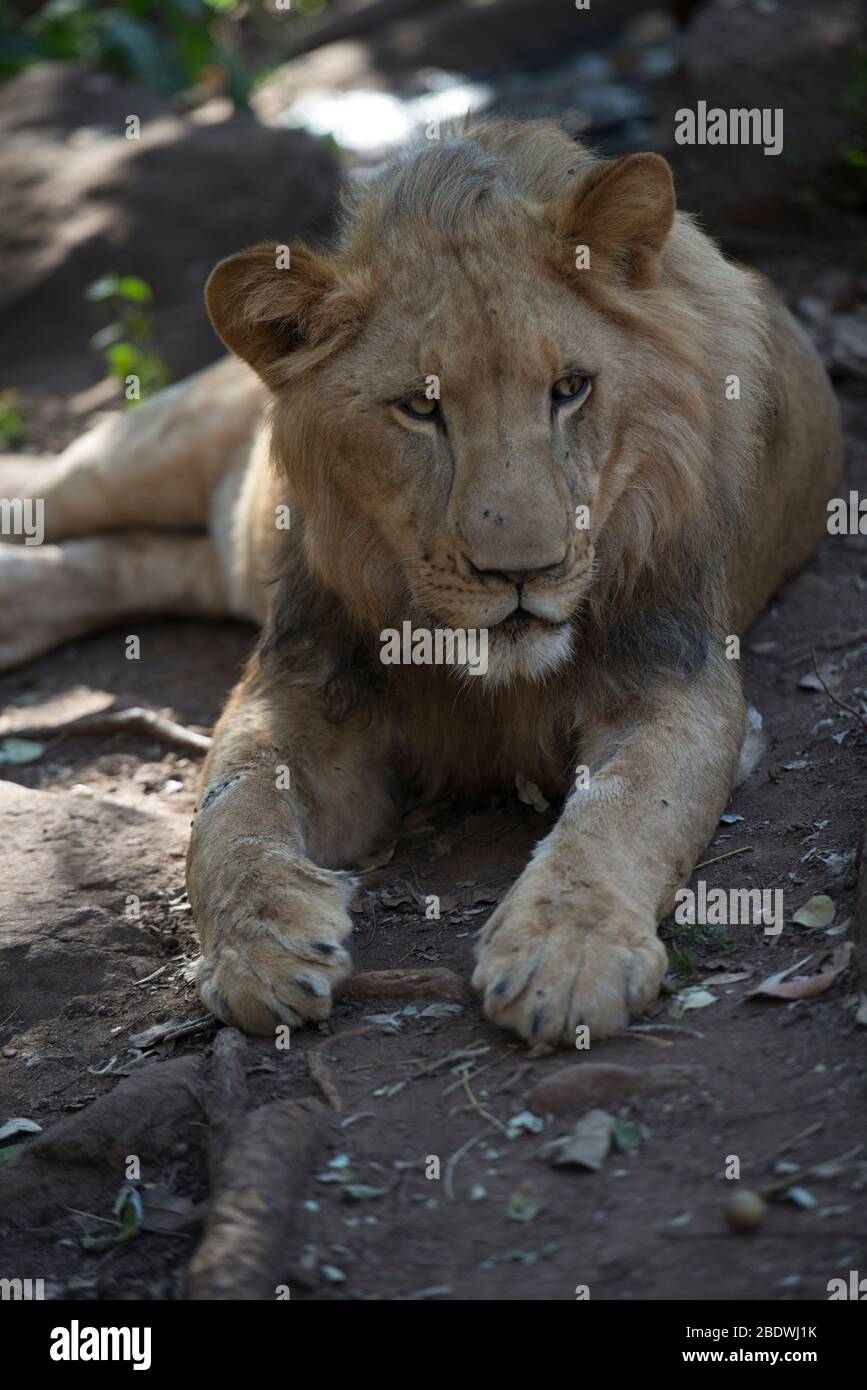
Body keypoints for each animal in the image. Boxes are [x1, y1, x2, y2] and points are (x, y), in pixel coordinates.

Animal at [0, 117, 842, 1047]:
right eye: (419, 407)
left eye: (570, 389)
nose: (522, 570)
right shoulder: (303, 678)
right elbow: (231, 811)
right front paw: (261, 950)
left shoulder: (675, 674)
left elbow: (626, 808)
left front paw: (565, 955)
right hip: (132, 459)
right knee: (50, 492)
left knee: (137, 556)